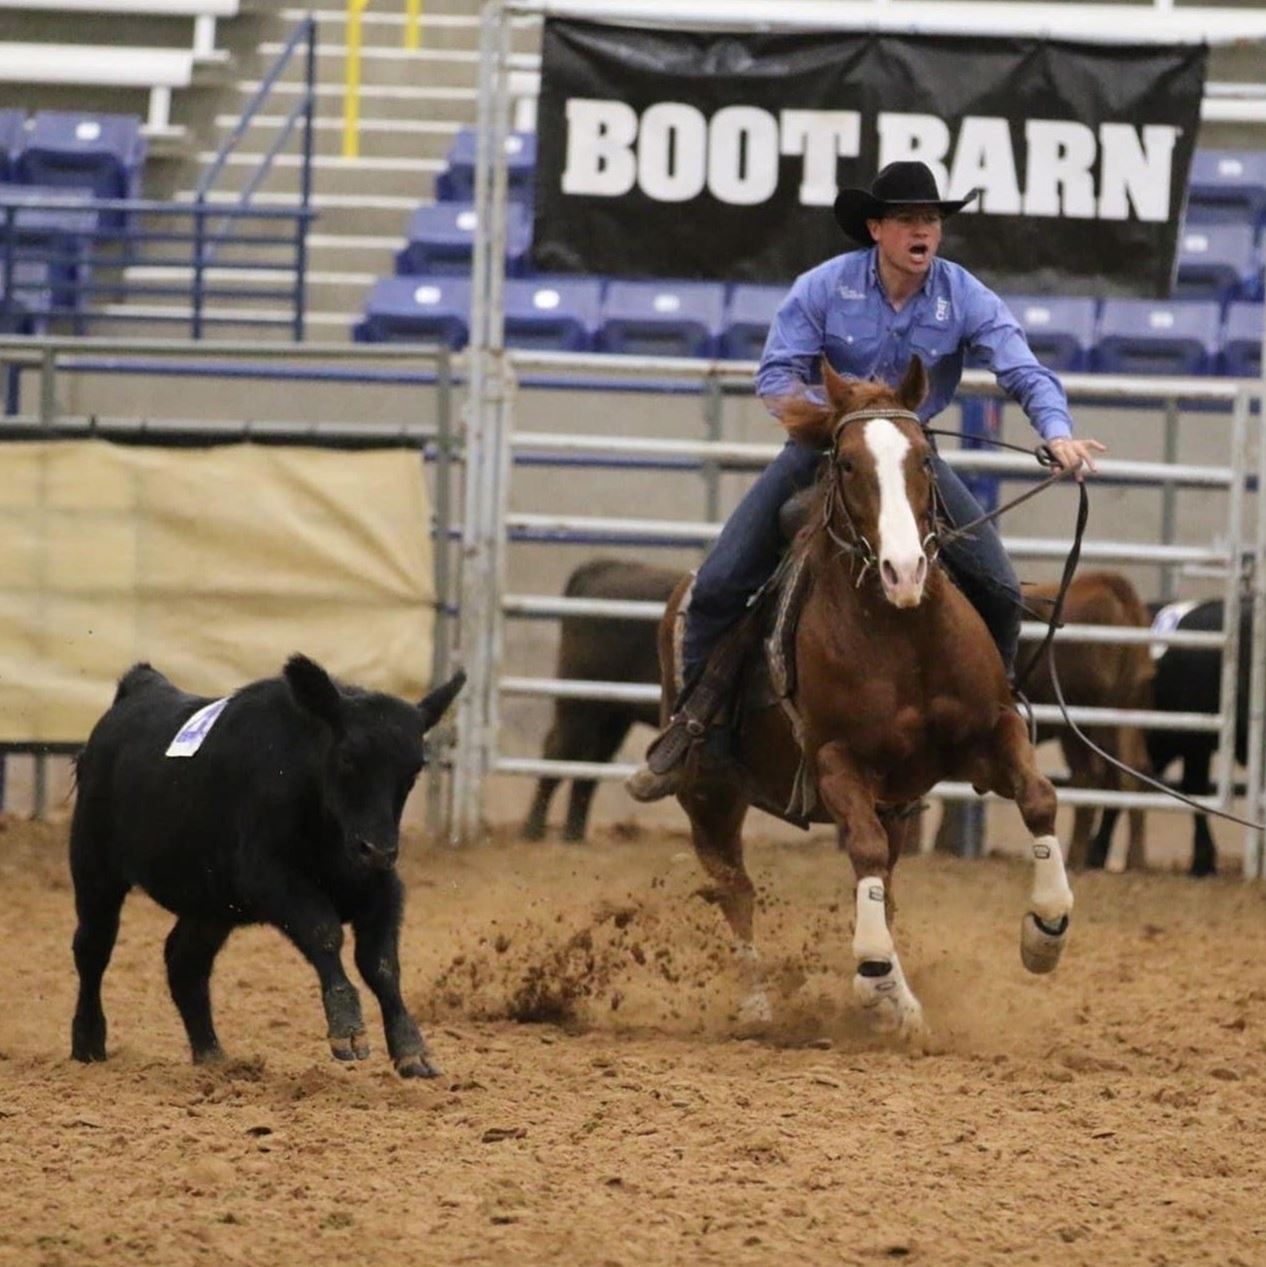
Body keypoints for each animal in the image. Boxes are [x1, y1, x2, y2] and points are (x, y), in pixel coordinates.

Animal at [655, 356, 1074, 1037]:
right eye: (847, 463)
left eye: (924, 458)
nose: (903, 572)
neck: (904, 635)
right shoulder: (835, 761)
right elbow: (864, 853)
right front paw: (879, 978)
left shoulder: (994, 731)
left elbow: (1038, 797)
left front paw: (1046, 929)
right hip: (708, 795)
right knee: (735, 887)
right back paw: (759, 1004)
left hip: (895, 802)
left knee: (882, 876)